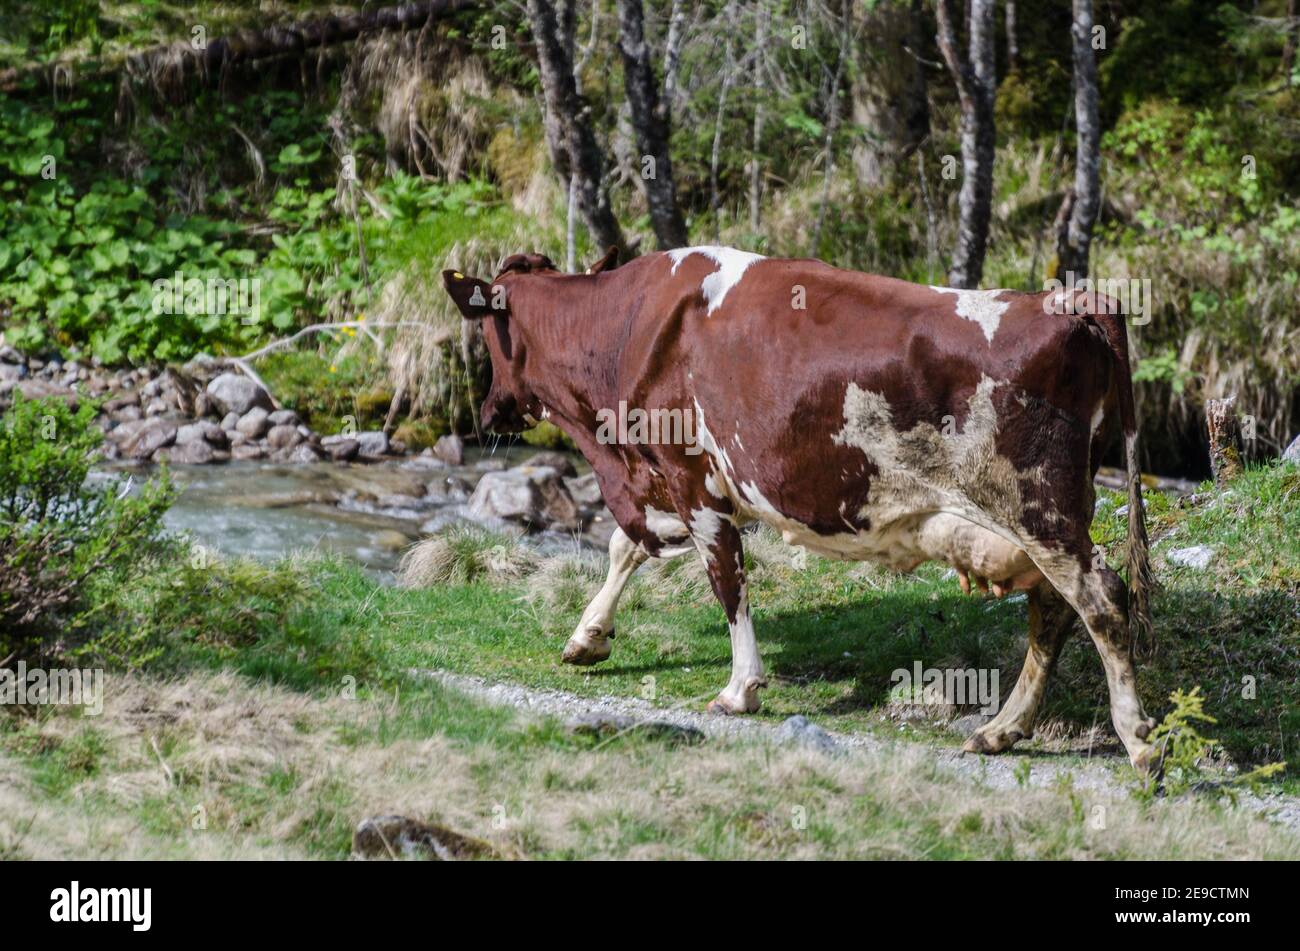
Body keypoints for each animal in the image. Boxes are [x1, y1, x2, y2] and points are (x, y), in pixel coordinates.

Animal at [443, 245, 1158, 771]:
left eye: (488, 337)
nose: (488, 412)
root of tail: (1069, 303)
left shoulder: (691, 478)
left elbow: (726, 580)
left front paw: (740, 689)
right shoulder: (660, 483)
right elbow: (626, 546)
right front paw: (587, 637)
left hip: (1040, 508)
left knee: (1100, 598)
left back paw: (1139, 741)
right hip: (1046, 515)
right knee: (1053, 612)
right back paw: (1002, 730)